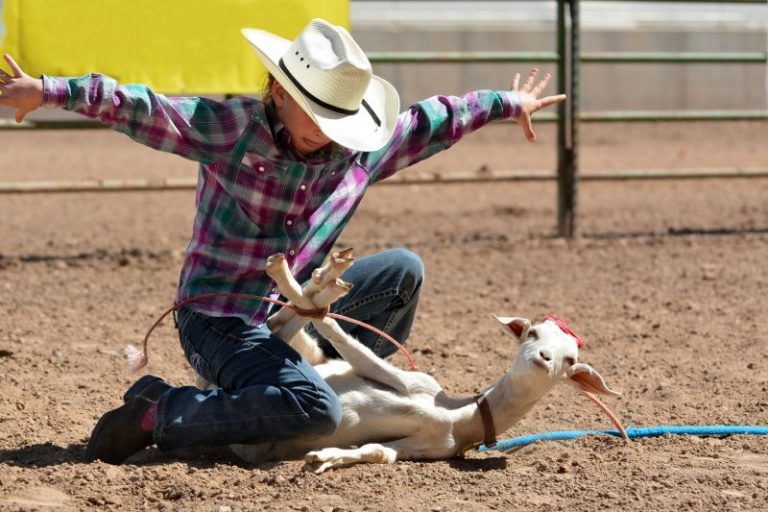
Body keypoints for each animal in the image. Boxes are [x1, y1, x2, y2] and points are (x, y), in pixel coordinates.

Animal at [195, 249, 620, 473]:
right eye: (532, 334)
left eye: (570, 358)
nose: (544, 358)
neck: (459, 414)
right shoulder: (410, 380)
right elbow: (348, 342)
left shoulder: (429, 447)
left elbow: (377, 452)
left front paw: (324, 458)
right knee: (288, 319)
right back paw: (316, 276)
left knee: (280, 324)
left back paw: (323, 277)